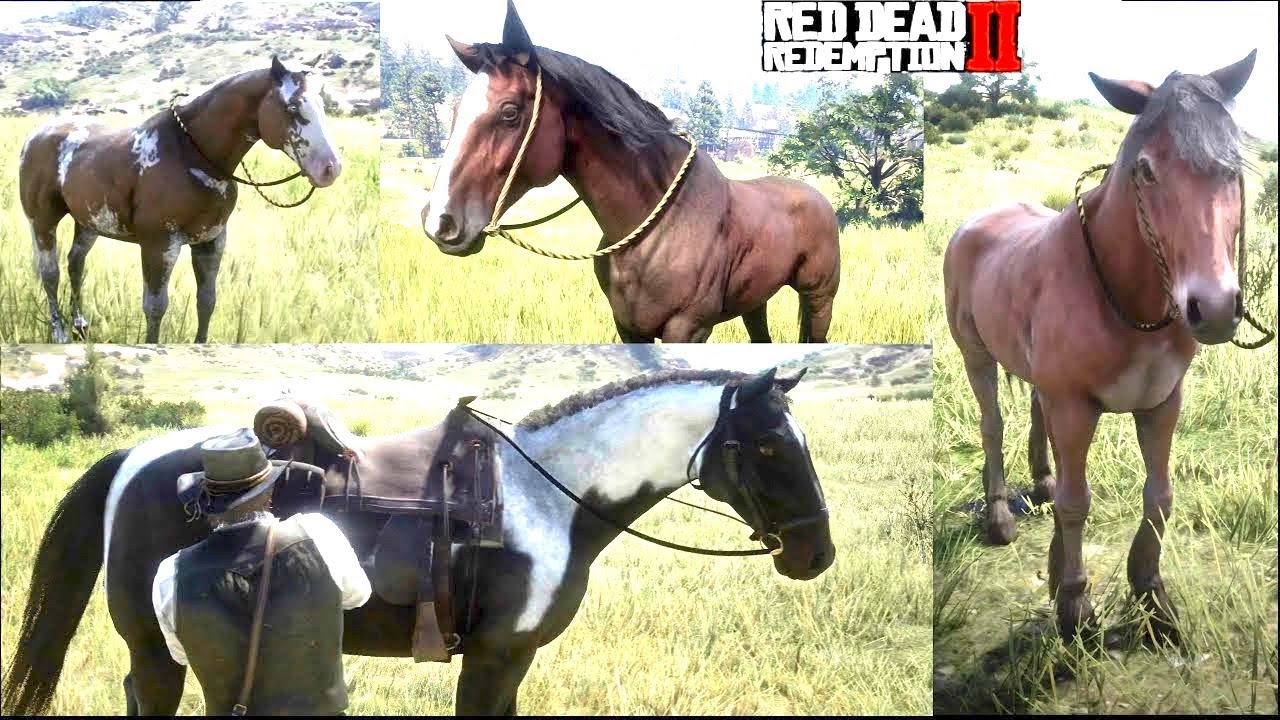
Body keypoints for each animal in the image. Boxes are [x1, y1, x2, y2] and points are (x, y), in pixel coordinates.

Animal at [1, 367, 834, 716]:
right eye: (767, 446)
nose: (816, 553)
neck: (547, 495)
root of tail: (132, 458)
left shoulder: (511, 660)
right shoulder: (497, 655)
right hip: (152, 645)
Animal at [17, 56, 342, 344]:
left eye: (323, 105)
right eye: (292, 107)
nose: (331, 168)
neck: (192, 154)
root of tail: (35, 137)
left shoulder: (211, 242)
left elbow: (206, 301)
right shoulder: (159, 245)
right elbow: (155, 307)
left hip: (89, 223)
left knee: (76, 264)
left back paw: (80, 325)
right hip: (42, 222)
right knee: (50, 273)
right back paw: (60, 334)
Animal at [420, 1, 841, 343]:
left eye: (509, 112)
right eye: (455, 111)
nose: (439, 221)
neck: (655, 226)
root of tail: (819, 200)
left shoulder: (687, 328)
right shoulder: (628, 327)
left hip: (819, 298)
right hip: (756, 301)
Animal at [943, 50, 1258, 643]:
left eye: (1234, 168)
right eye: (1147, 169)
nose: (1213, 307)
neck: (1127, 295)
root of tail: (975, 221)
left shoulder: (1162, 402)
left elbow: (1159, 495)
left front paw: (1151, 594)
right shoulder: (1074, 406)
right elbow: (1076, 503)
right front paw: (1073, 604)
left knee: (1035, 414)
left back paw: (1041, 480)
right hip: (976, 355)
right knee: (992, 424)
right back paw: (1000, 517)